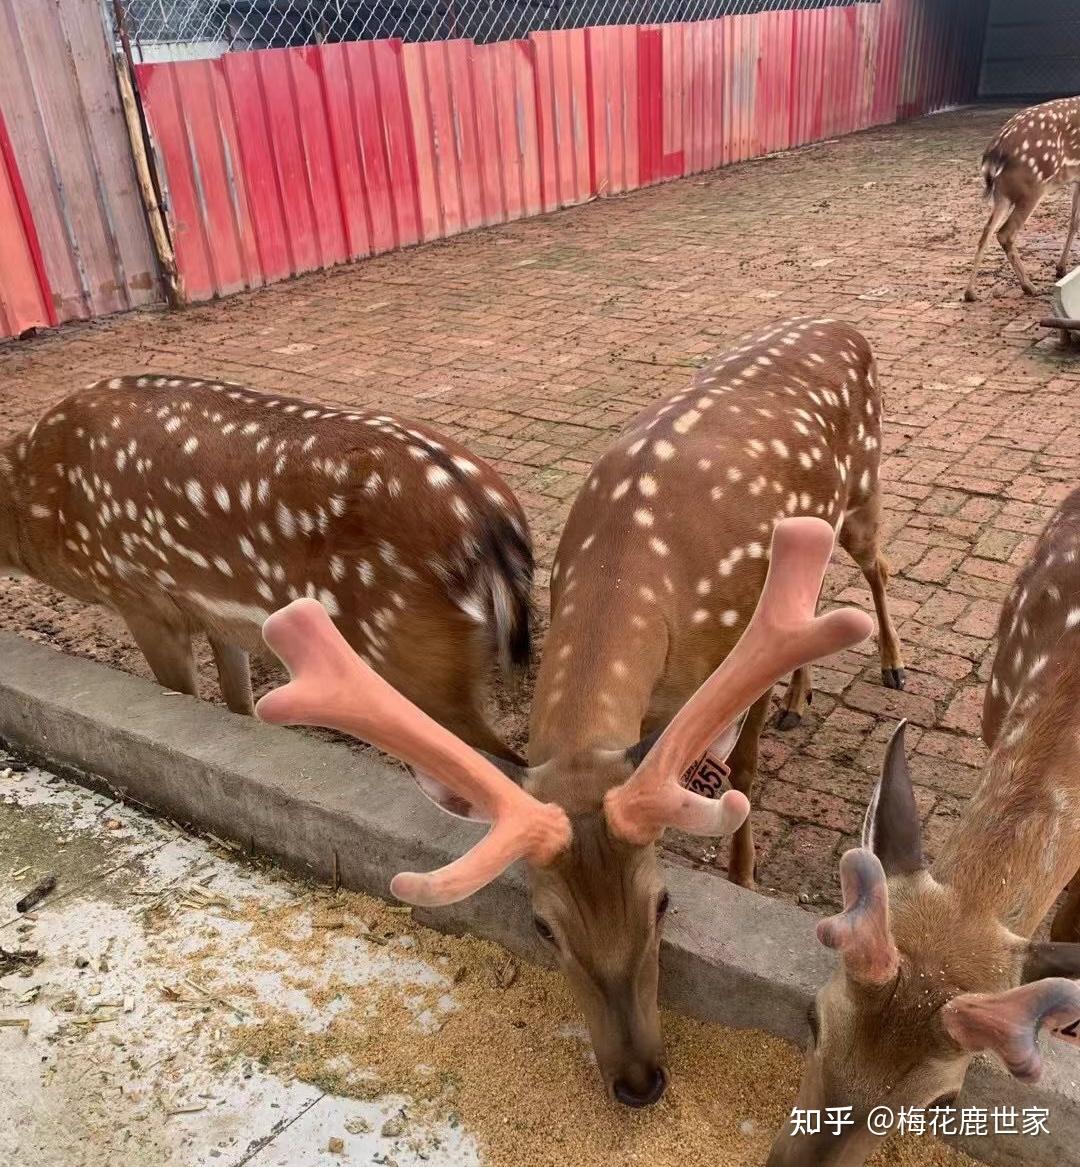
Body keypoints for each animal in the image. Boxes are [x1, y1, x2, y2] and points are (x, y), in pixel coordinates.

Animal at [0, 375, 532, 760]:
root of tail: (490, 520)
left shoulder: (142, 598)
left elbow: (183, 694)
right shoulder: (215, 610)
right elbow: (240, 705)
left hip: (405, 643)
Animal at [255, 315, 906, 1108]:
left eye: (662, 904)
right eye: (543, 926)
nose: (639, 1082)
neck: (626, 572)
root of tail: (843, 325)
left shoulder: (731, 650)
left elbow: (743, 769)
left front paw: (744, 876)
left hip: (866, 488)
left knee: (877, 565)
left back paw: (891, 664)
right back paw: (798, 699)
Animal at [964, 95, 1080, 302]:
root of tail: (995, 152)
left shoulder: (1077, 179)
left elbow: (1073, 222)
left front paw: (1061, 269)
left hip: (1002, 193)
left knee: (986, 231)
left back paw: (970, 292)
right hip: (1031, 187)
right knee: (1004, 233)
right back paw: (1029, 286)